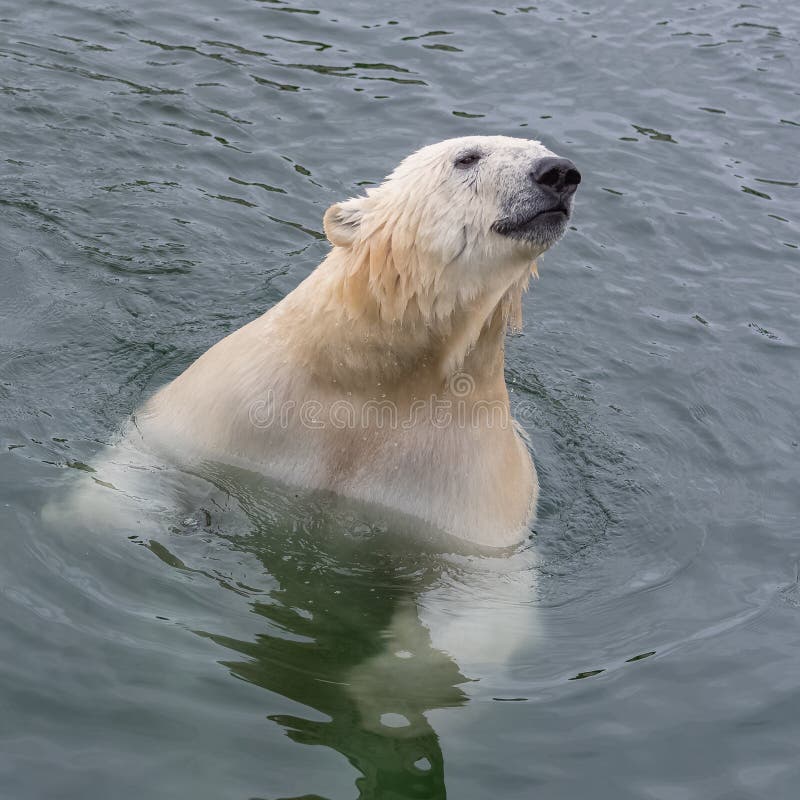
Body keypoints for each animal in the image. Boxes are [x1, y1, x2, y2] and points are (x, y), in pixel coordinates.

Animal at [137, 135, 581, 548]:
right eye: (467, 157)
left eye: (542, 148)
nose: (559, 172)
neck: (369, 373)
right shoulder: (230, 406)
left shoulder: (470, 486)